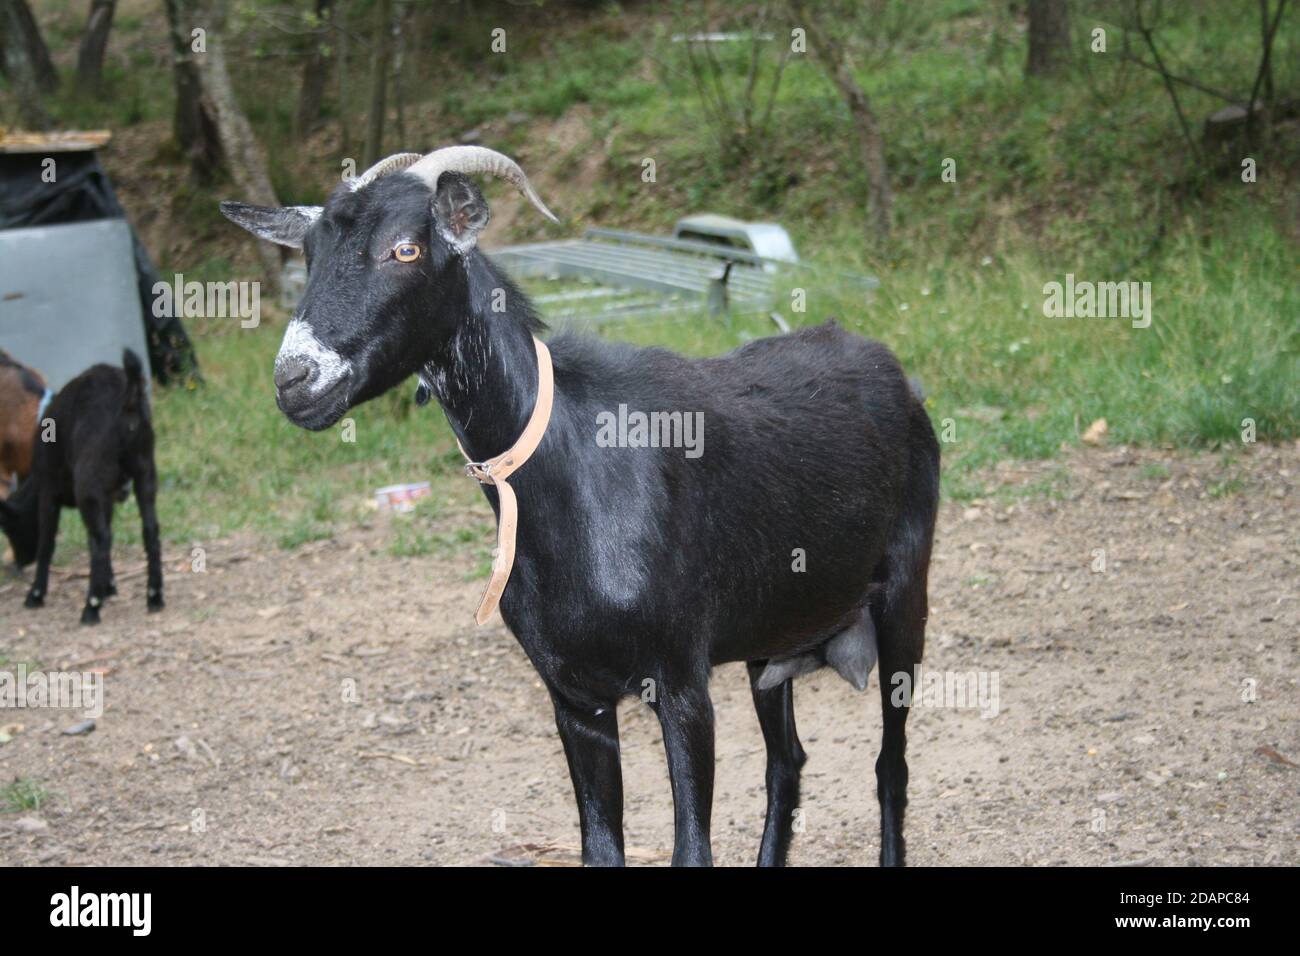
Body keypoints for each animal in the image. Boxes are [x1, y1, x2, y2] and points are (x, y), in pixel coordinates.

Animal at [221, 146, 939, 867]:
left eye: (405, 248)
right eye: (310, 254)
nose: (295, 380)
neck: (571, 473)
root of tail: (892, 369)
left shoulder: (682, 684)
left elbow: (692, 849)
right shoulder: (573, 698)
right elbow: (600, 847)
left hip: (904, 594)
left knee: (891, 766)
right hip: (774, 638)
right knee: (786, 763)